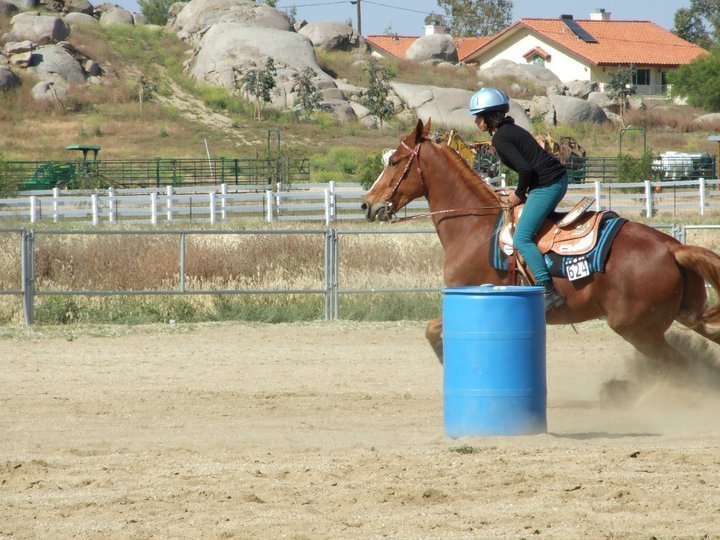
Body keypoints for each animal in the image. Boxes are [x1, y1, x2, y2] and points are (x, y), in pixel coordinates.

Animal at [361, 118, 720, 375]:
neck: (473, 228)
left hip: (639, 330)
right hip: (686, 315)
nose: (367, 204)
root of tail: (672, 248)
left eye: (394, 161)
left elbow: (432, 330)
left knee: (678, 366)